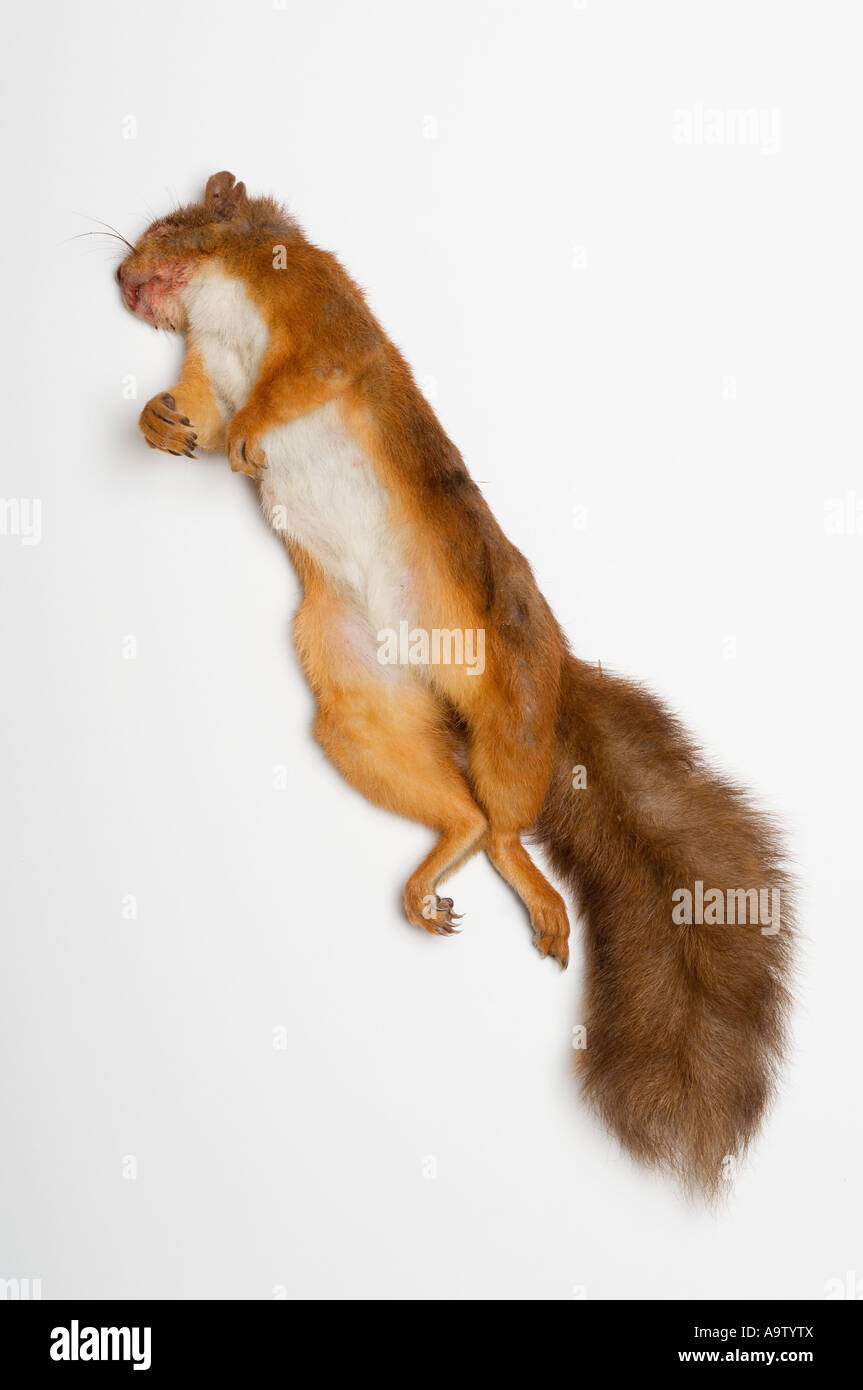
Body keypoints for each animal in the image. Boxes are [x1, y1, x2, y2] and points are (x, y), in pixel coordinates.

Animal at [117, 172, 793, 1195]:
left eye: (170, 223)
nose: (121, 282)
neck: (223, 302)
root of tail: (553, 672)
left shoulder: (319, 314)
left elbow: (299, 379)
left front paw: (244, 436)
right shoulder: (205, 363)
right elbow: (194, 396)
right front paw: (161, 424)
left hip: (507, 705)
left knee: (506, 819)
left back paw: (534, 890)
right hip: (359, 706)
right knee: (464, 814)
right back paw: (437, 868)